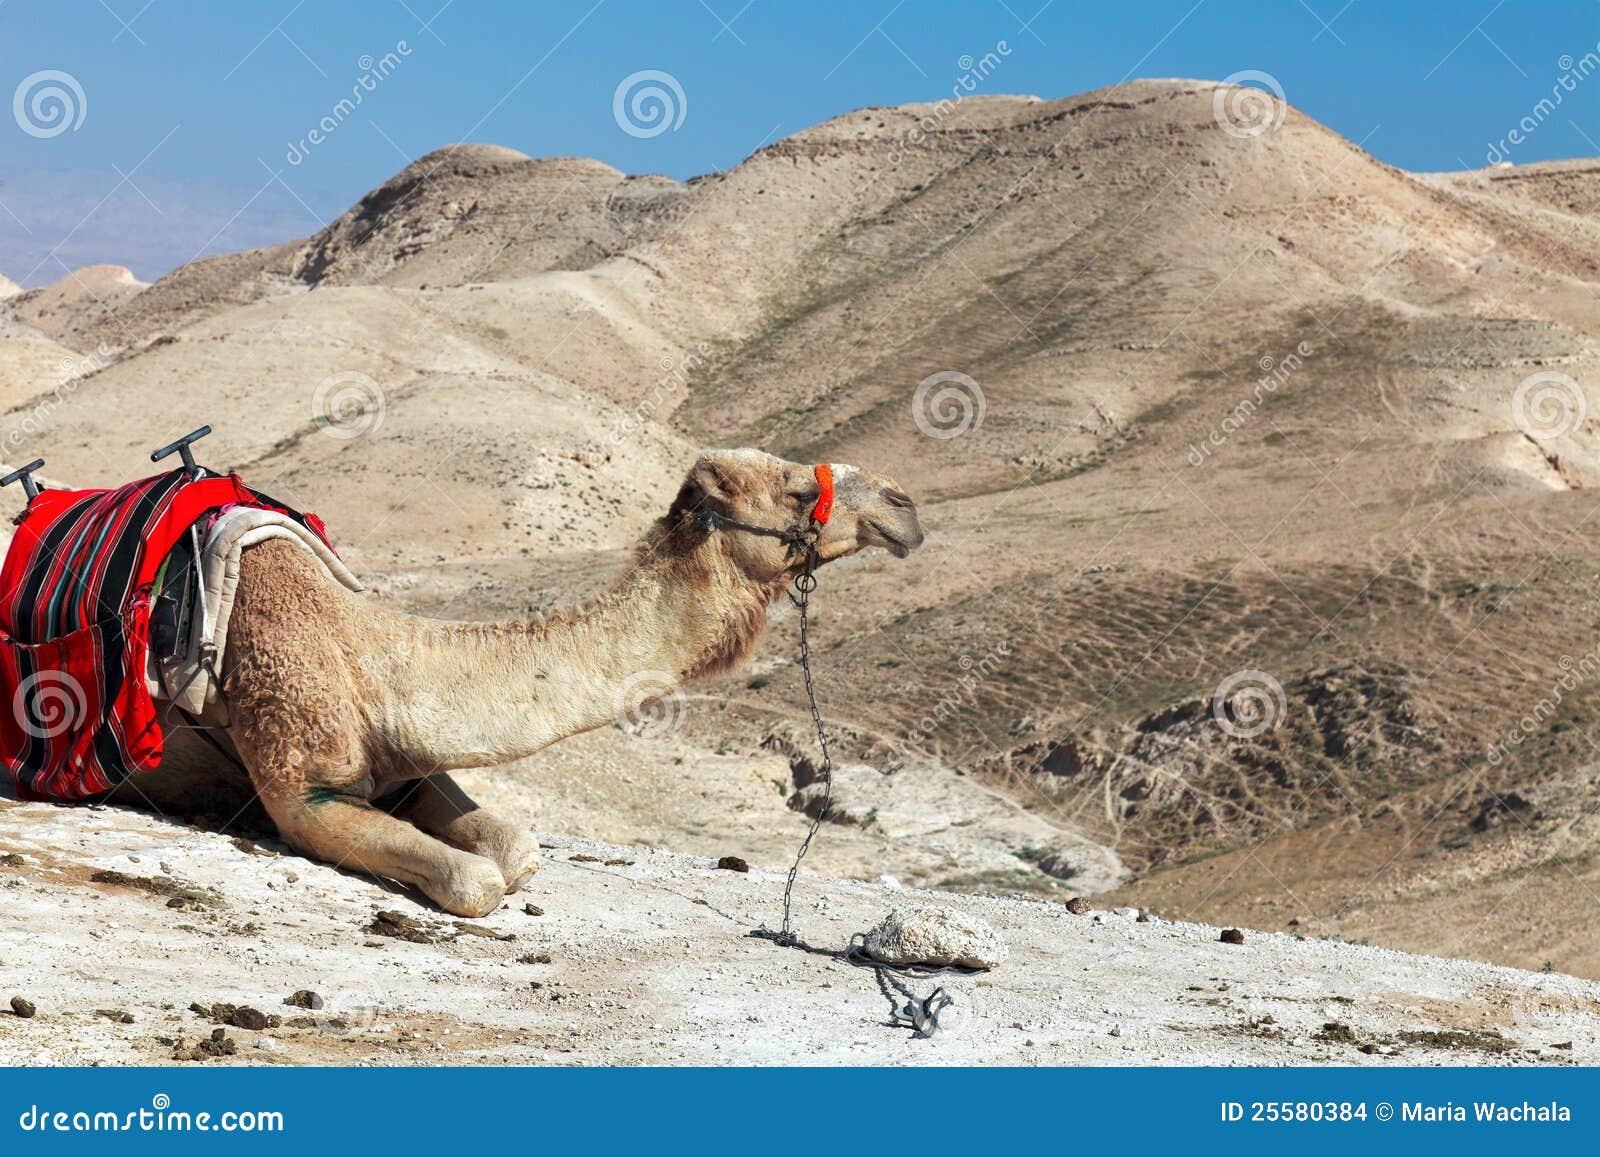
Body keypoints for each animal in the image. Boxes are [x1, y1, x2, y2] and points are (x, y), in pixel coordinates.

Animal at [108, 449, 925, 916]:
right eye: (794, 488)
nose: (905, 504)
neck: (369, 647)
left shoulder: (409, 763)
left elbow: (521, 851)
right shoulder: (302, 792)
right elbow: (478, 881)